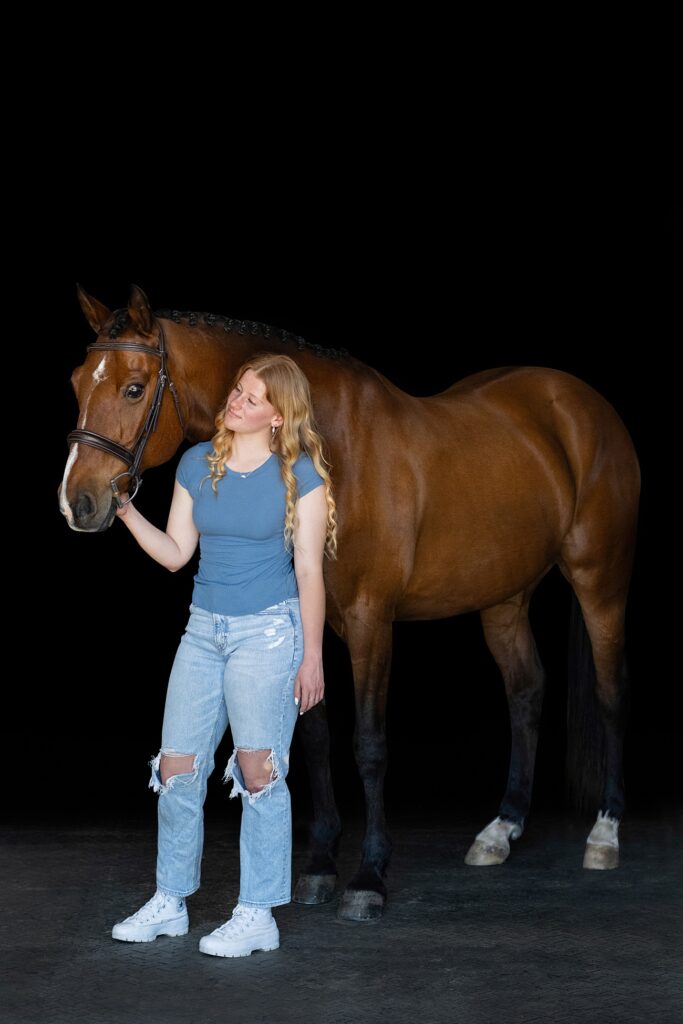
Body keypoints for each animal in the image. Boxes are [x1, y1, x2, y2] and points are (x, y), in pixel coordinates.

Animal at [59, 284, 640, 922]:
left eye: (134, 388)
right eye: (78, 382)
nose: (78, 501)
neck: (330, 447)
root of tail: (579, 403)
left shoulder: (370, 620)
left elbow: (369, 745)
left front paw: (368, 876)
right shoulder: (304, 622)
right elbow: (312, 740)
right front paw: (318, 865)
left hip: (600, 580)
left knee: (611, 694)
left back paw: (605, 833)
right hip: (504, 598)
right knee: (527, 691)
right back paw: (502, 828)